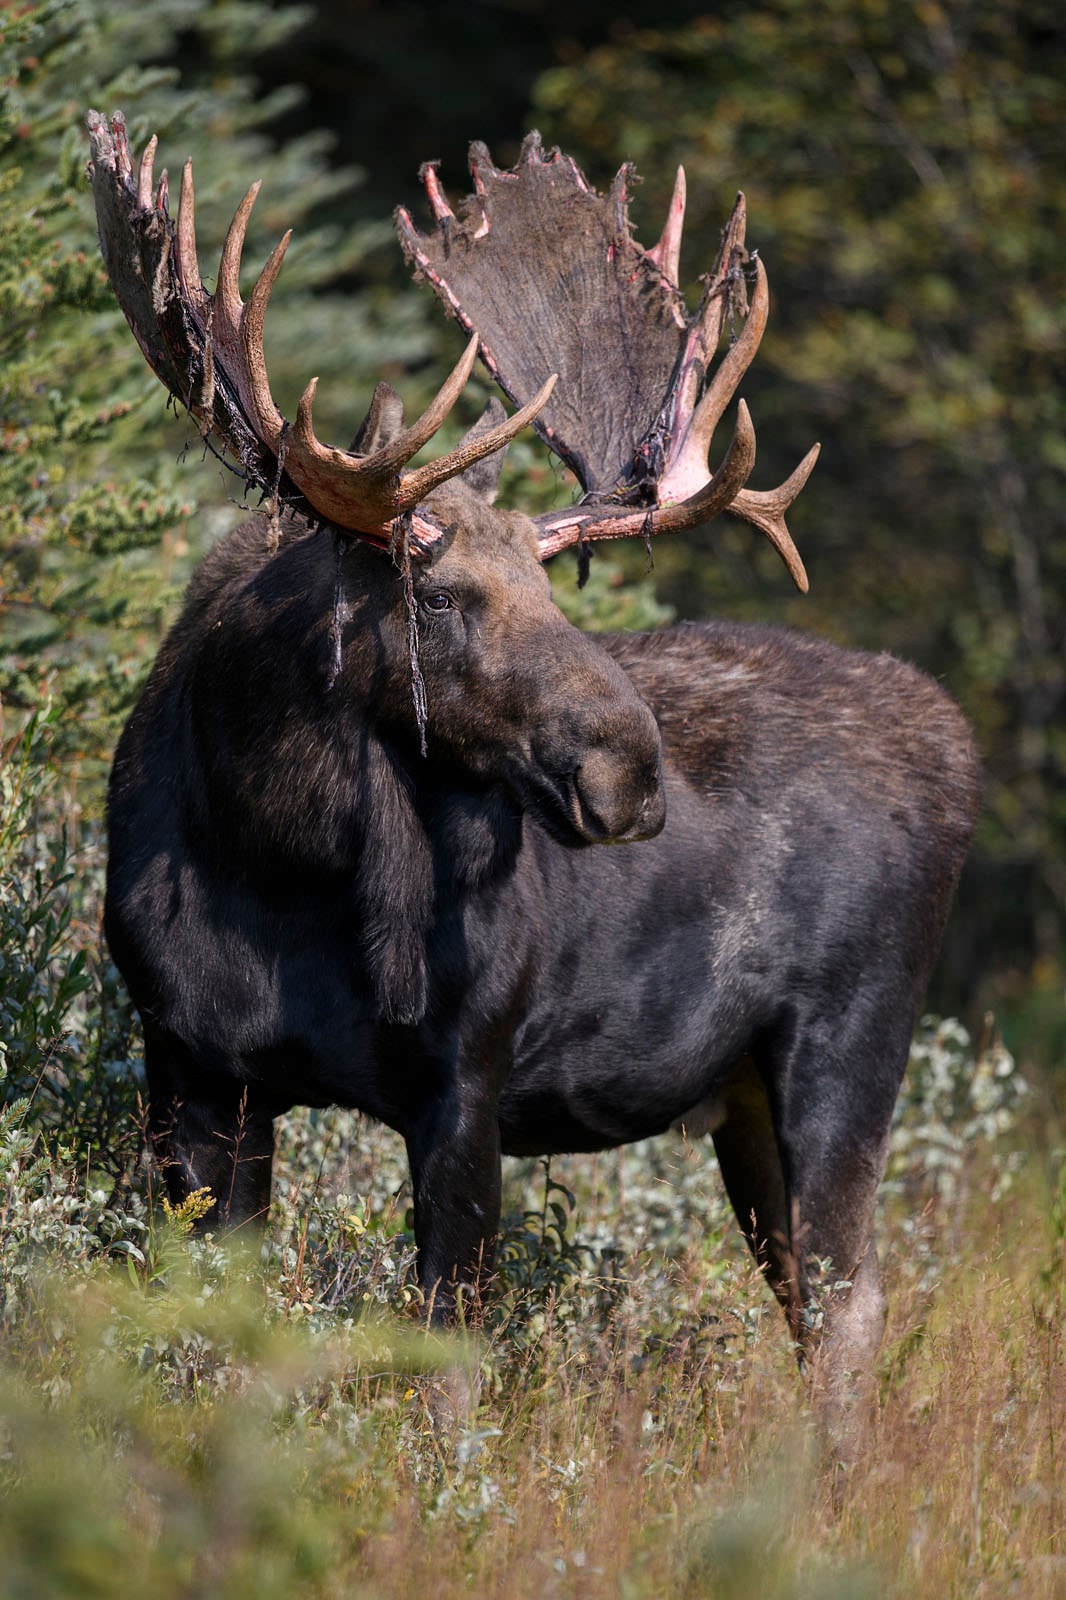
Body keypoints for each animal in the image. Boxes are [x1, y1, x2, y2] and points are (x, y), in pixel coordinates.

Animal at [87, 112, 980, 1450]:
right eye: (440, 597)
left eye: (555, 589)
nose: (631, 769)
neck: (272, 861)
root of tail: (957, 744)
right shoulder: (189, 1067)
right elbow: (211, 1340)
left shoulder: (468, 1072)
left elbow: (450, 1349)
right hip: (744, 1104)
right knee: (814, 1297)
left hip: (848, 1041)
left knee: (847, 1302)